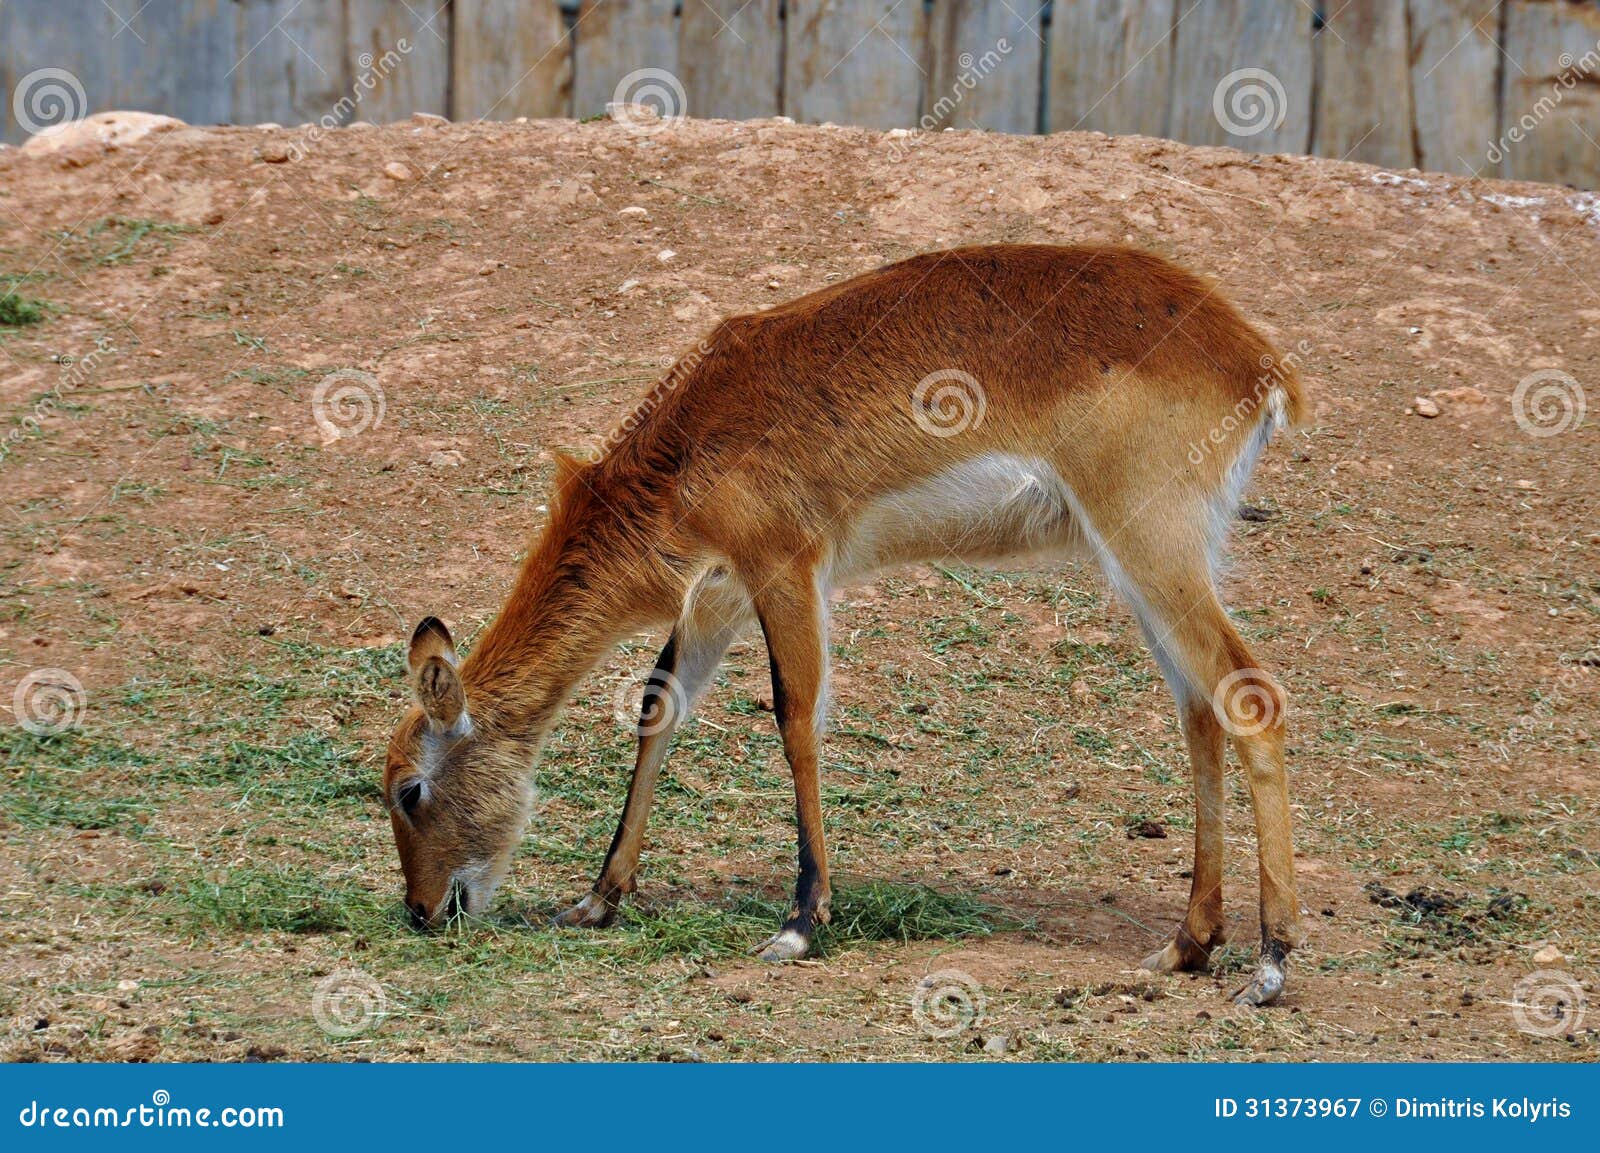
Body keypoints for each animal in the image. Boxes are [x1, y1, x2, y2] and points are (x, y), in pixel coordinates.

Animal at [384, 244, 1307, 1005]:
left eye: (408, 788)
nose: (422, 911)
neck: (686, 442)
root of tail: (1254, 359)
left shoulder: (786, 569)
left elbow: (796, 719)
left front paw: (801, 922)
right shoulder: (718, 591)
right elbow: (658, 707)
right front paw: (598, 898)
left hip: (1151, 549)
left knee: (1251, 697)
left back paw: (1269, 963)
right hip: (1151, 567)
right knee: (1200, 710)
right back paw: (1188, 944)